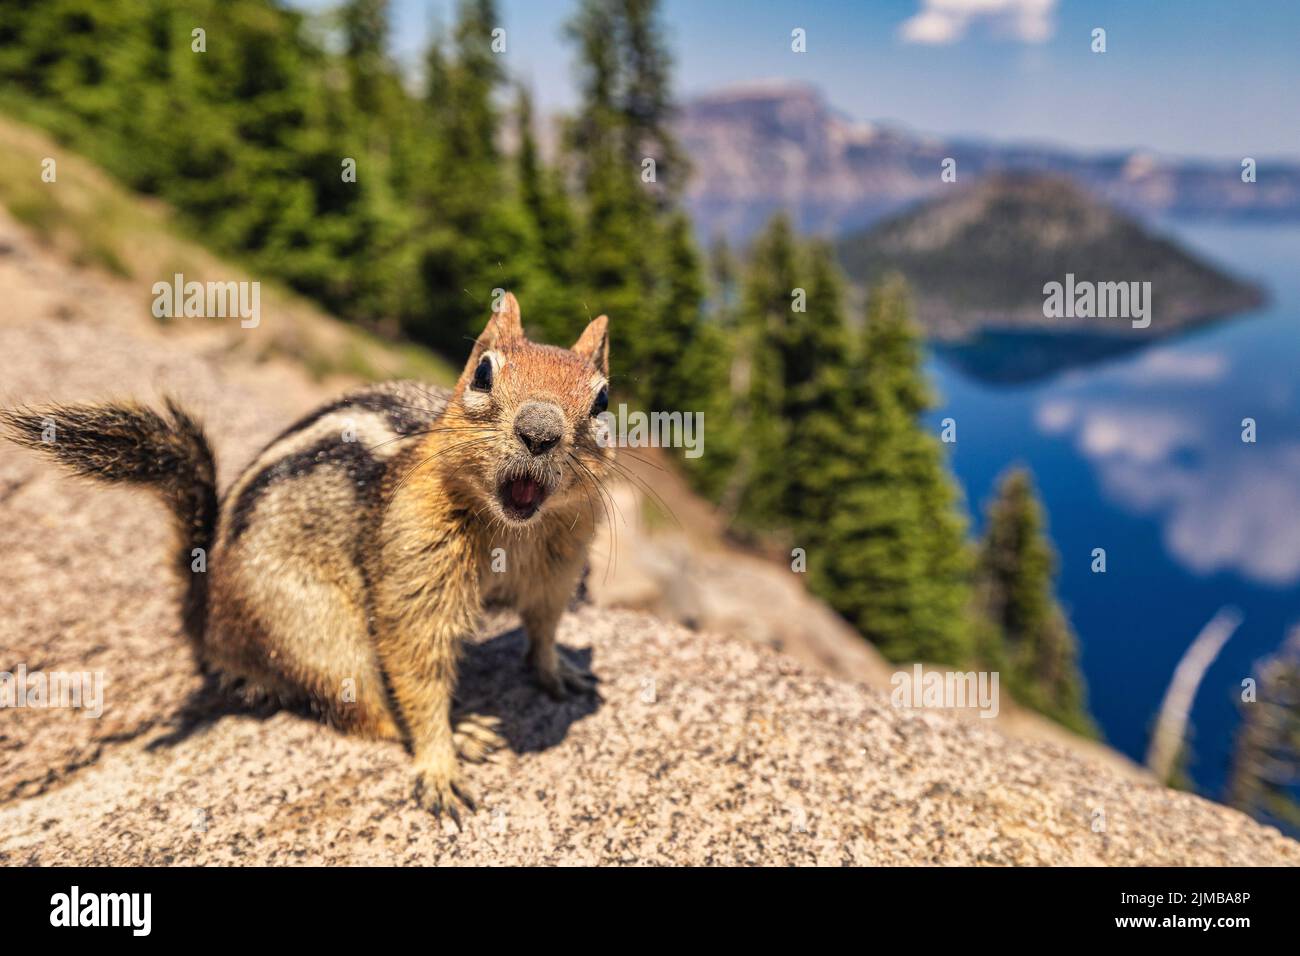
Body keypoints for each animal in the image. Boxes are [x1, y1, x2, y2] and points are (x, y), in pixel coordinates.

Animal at [1, 293, 613, 824]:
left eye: (603, 400)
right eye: (483, 373)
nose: (539, 432)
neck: (517, 531)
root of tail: (203, 615)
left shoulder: (560, 569)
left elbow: (544, 625)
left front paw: (559, 670)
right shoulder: (416, 569)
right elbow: (418, 667)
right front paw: (440, 763)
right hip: (318, 636)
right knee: (367, 710)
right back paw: (459, 726)